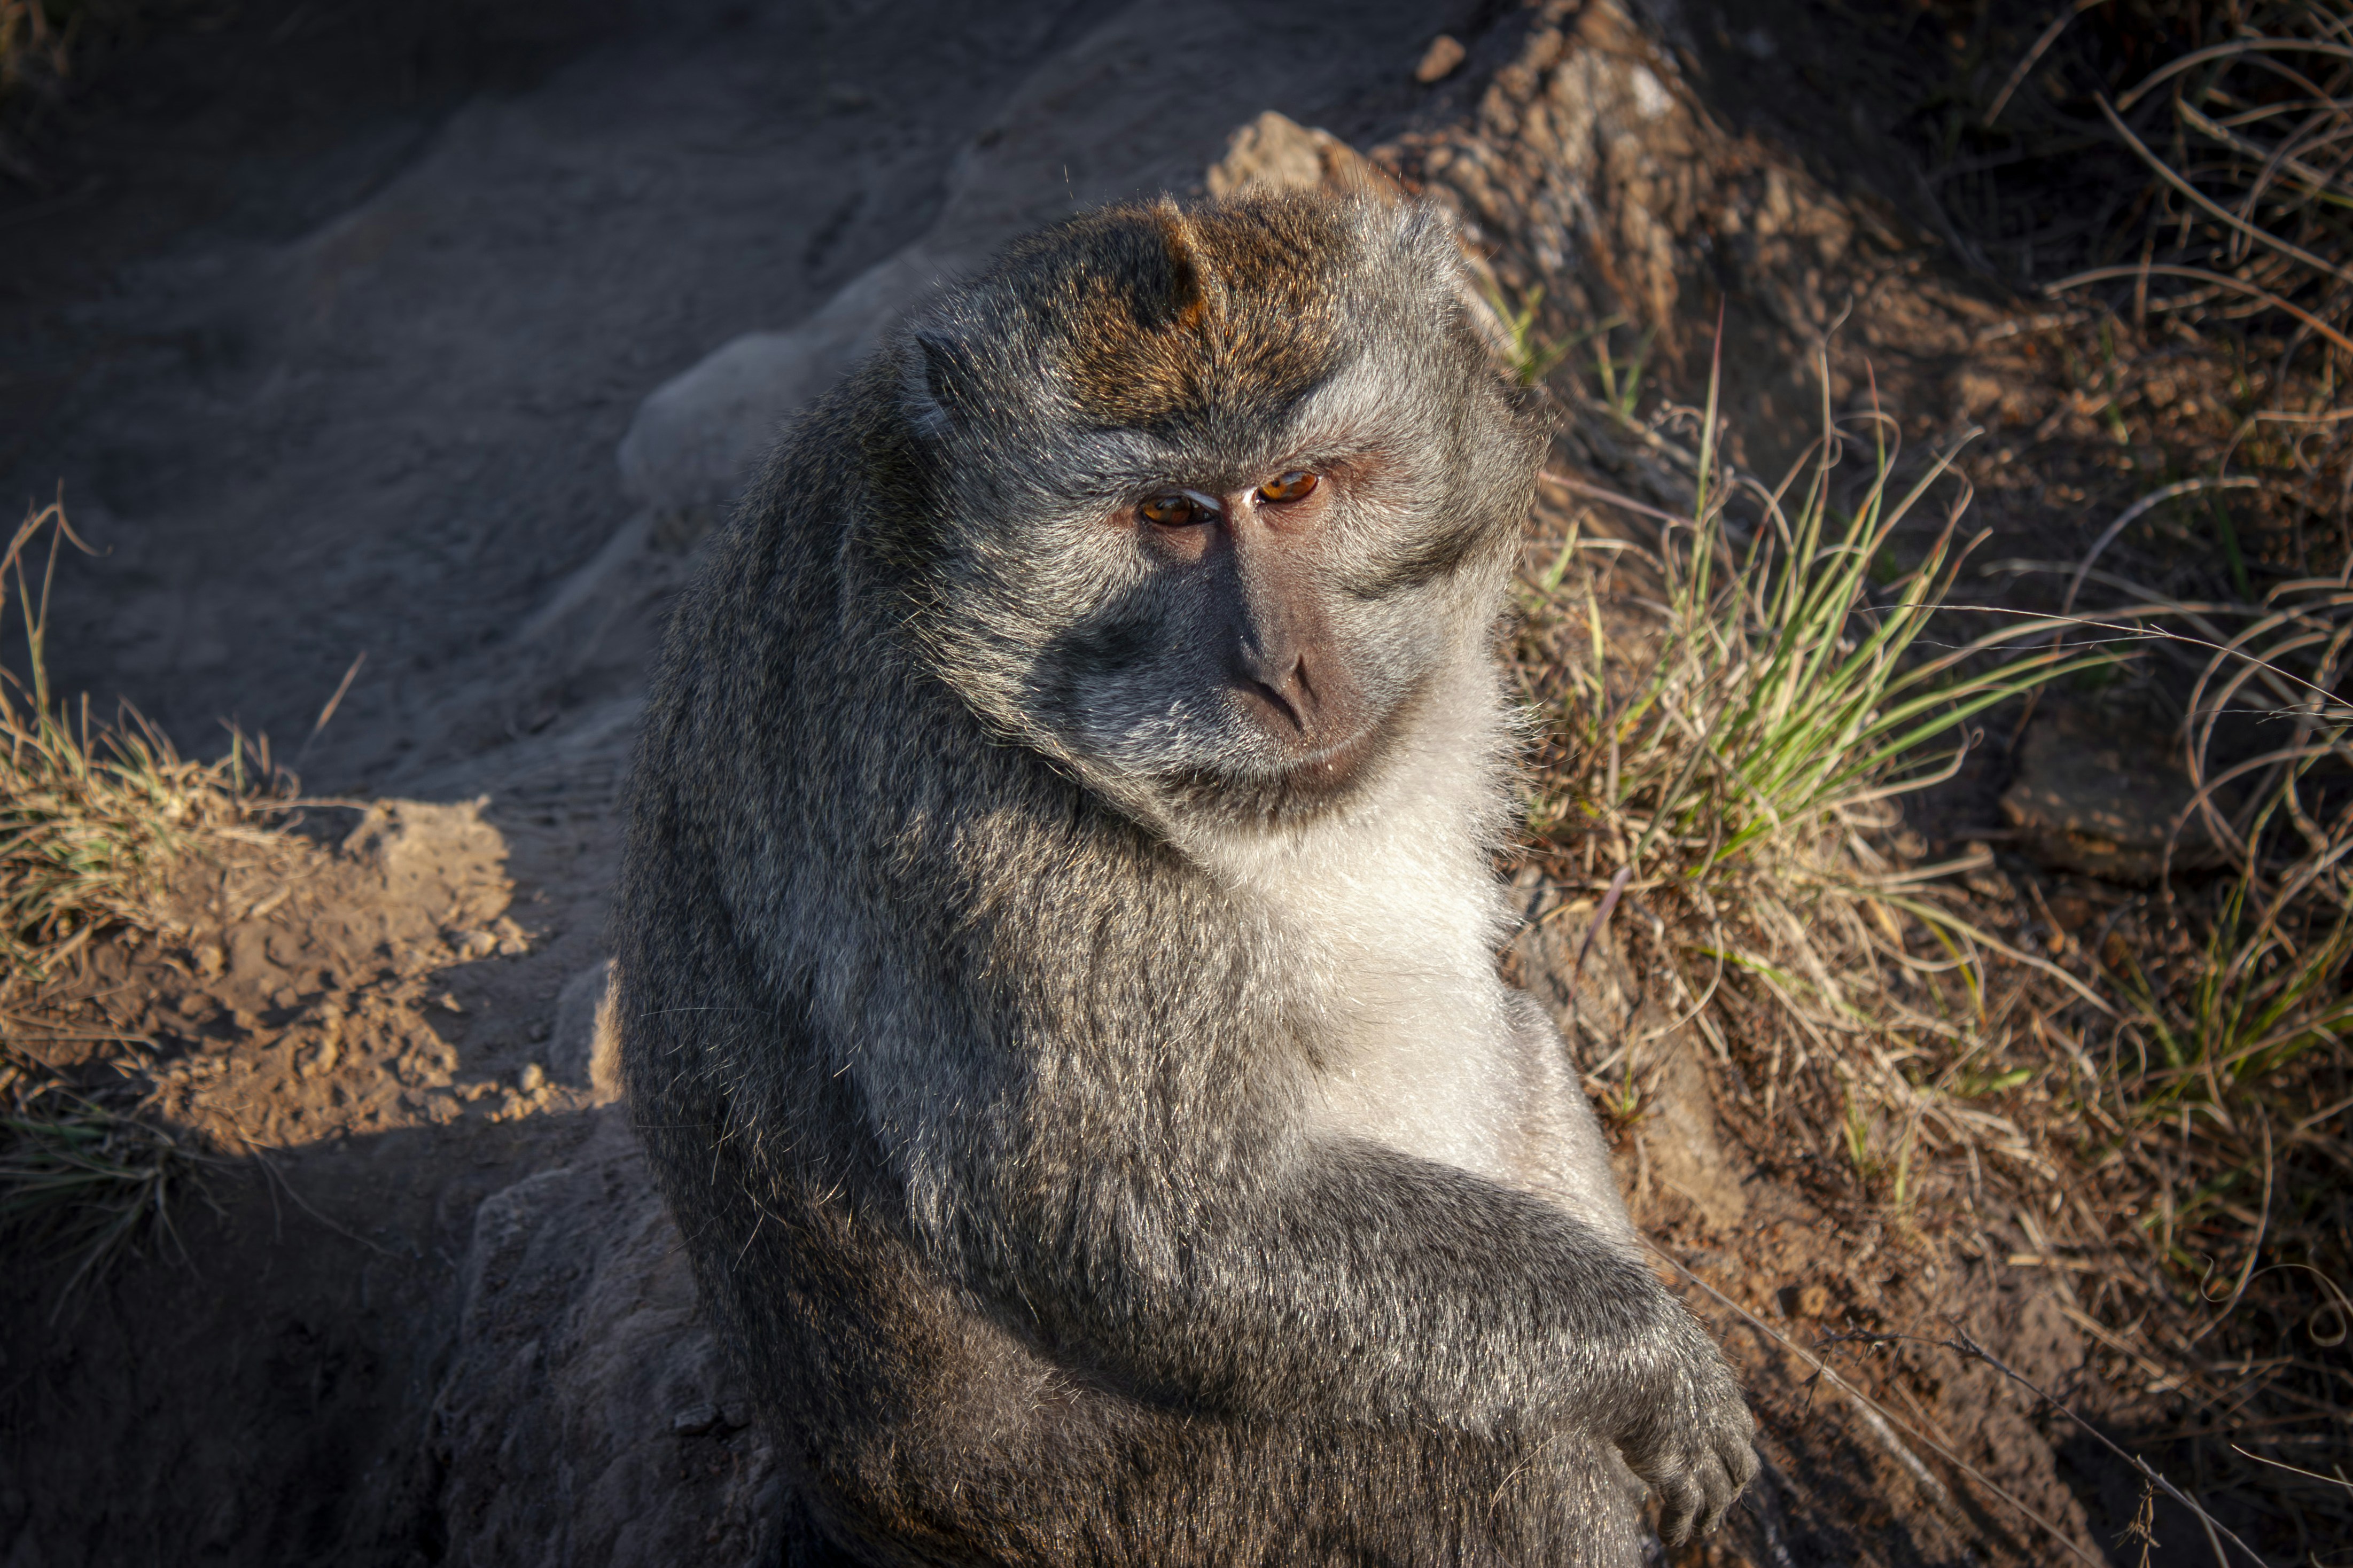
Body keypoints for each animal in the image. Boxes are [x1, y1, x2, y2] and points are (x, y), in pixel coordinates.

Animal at [615, 188, 1757, 1566]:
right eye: (1167, 515)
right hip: (1184, 1519)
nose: (1281, 669)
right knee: (1521, 1463)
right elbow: (1152, 1235)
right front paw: (1656, 1364)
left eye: (1293, 486)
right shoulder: (974, 833)